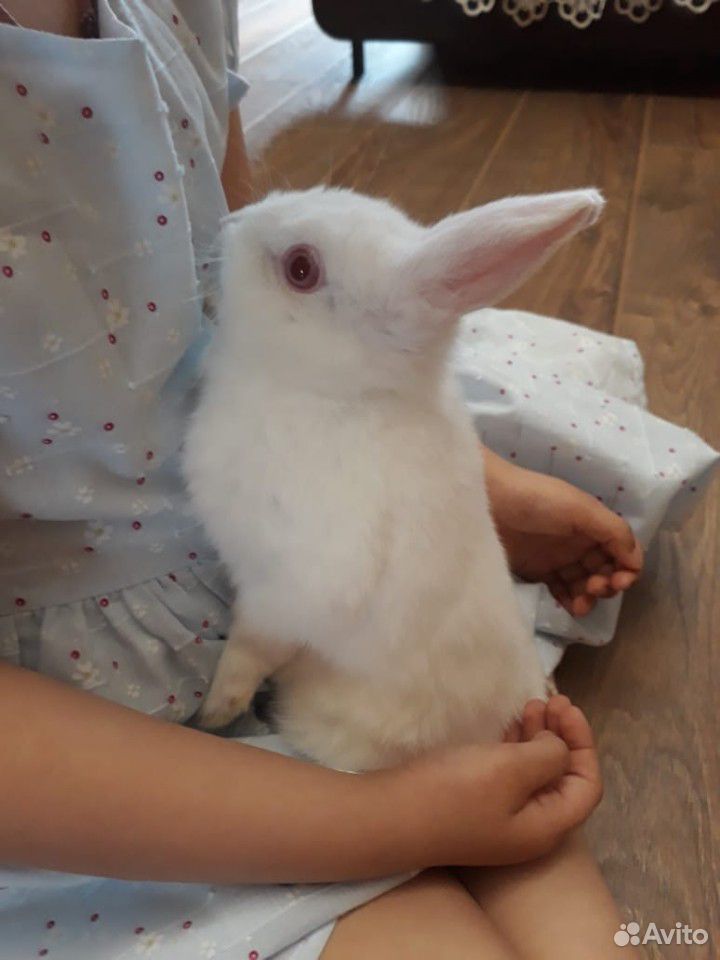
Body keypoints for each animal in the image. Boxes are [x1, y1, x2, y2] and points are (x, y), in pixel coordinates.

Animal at [184, 186, 605, 772]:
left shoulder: (292, 586)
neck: (342, 394)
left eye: (301, 268)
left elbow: (253, 645)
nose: (229, 225)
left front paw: (215, 709)